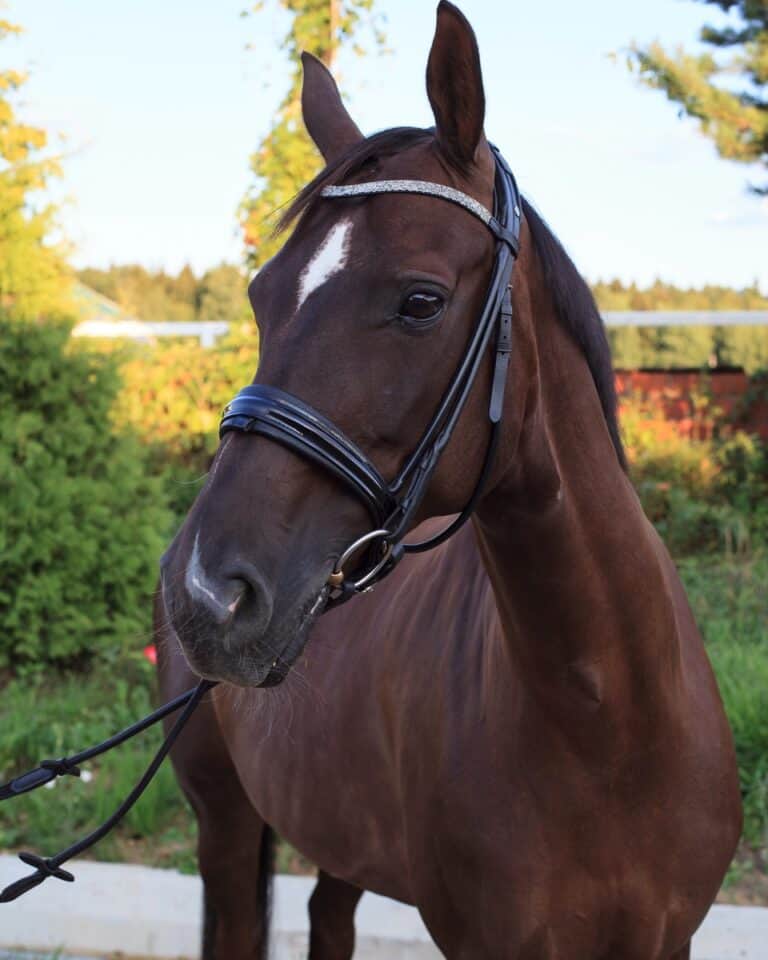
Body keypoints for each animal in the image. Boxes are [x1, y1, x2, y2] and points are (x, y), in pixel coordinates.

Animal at [157, 3, 742, 957]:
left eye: (421, 301)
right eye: (260, 295)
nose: (206, 593)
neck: (609, 723)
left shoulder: (667, 938)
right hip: (225, 821)